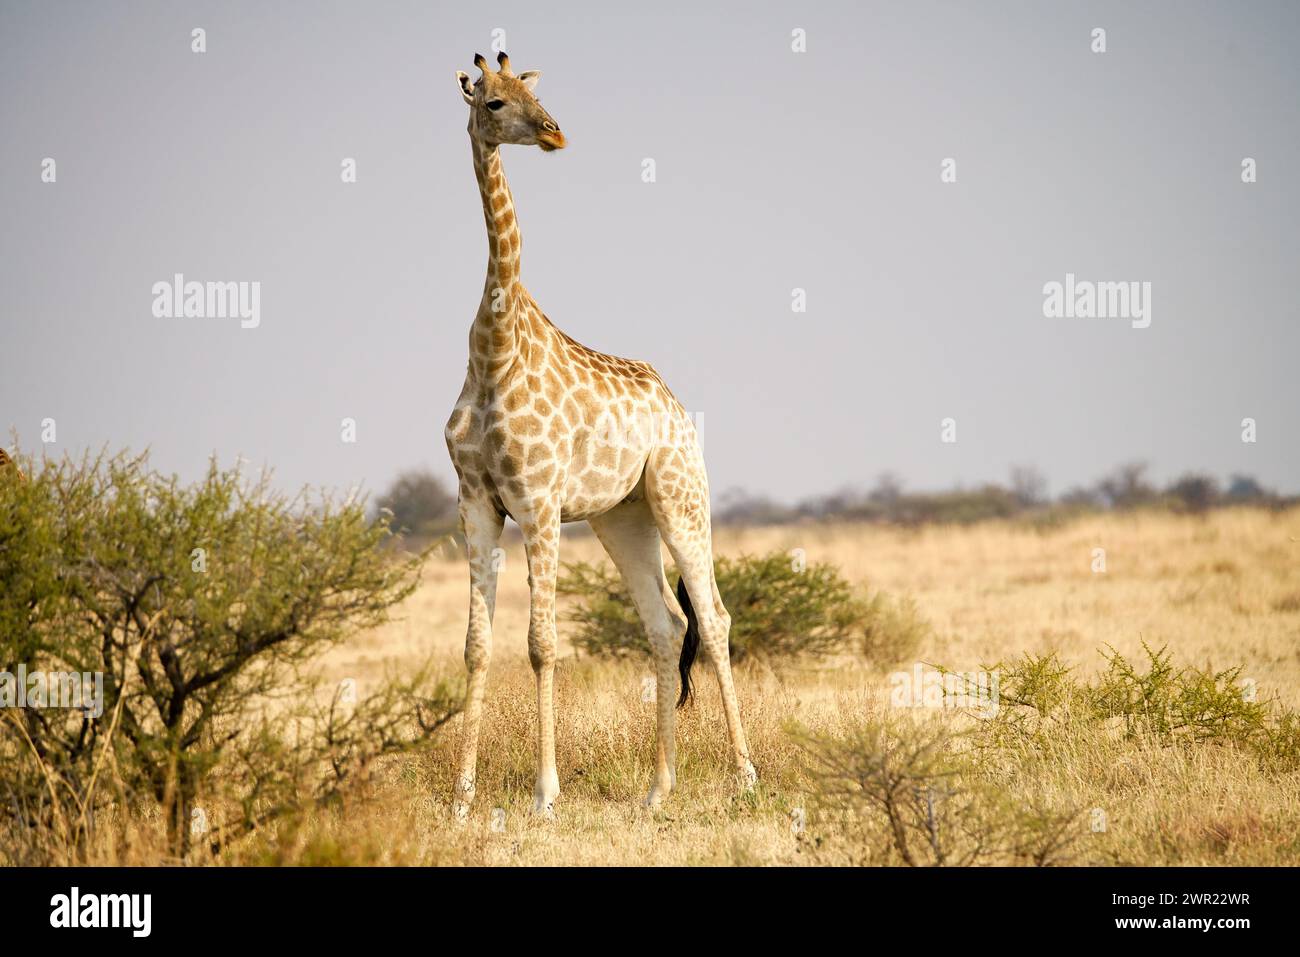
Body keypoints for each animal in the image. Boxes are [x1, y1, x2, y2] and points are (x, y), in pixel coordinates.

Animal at [444, 51, 756, 819]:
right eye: (494, 102)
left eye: (532, 91)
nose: (554, 133)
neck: (493, 350)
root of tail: (674, 403)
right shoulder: (476, 502)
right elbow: (475, 645)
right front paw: (461, 798)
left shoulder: (539, 501)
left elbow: (541, 643)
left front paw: (544, 795)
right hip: (623, 516)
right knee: (666, 624)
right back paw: (657, 790)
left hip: (681, 495)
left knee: (714, 617)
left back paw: (745, 778)